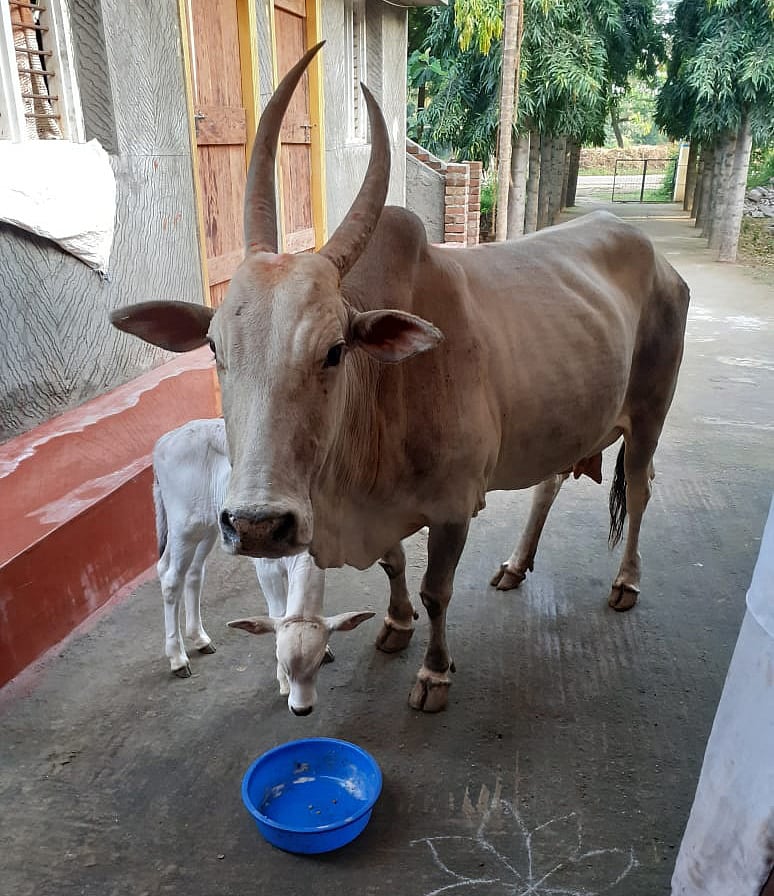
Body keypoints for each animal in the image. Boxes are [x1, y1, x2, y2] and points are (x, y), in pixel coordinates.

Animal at [153, 418, 373, 713]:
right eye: (285, 663)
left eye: (315, 666)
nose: (301, 709)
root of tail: (165, 440)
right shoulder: (266, 567)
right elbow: (278, 611)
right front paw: (282, 681)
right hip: (183, 526)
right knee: (170, 576)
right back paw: (177, 659)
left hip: (210, 526)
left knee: (194, 573)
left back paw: (200, 639)